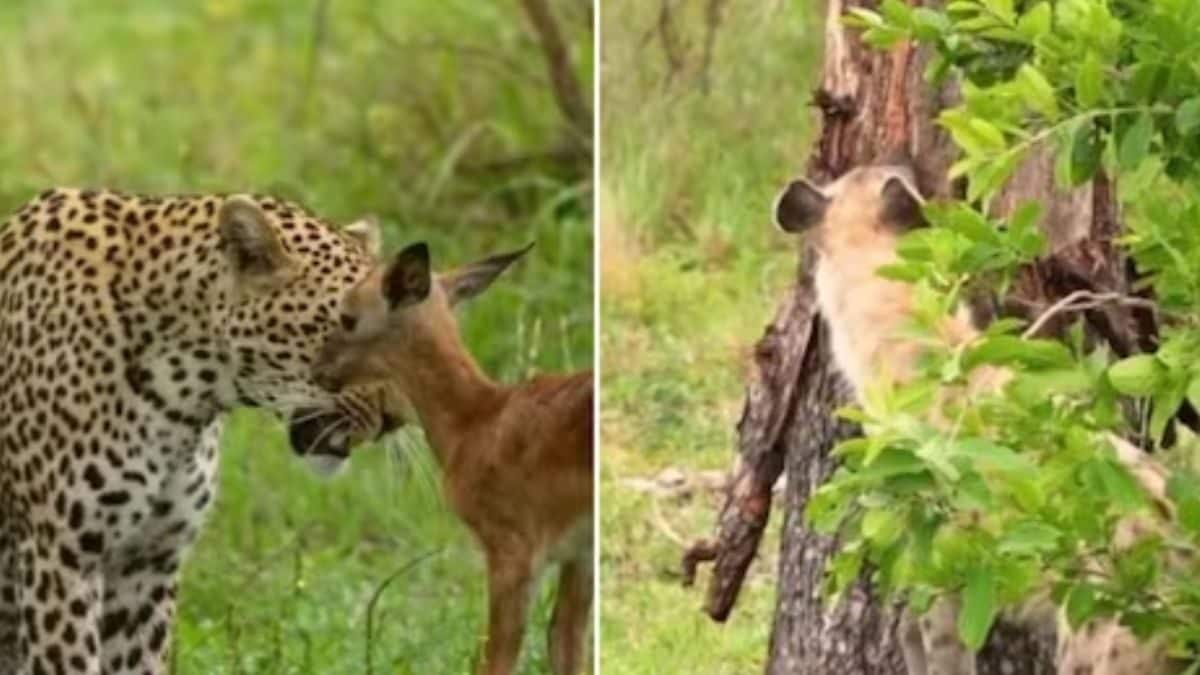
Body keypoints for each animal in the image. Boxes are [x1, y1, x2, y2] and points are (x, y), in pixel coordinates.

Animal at [313, 241, 594, 675]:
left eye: (348, 316)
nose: (317, 370)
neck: (474, 422)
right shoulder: (578, 554)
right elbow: (565, 644)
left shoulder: (513, 547)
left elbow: (495, 658)